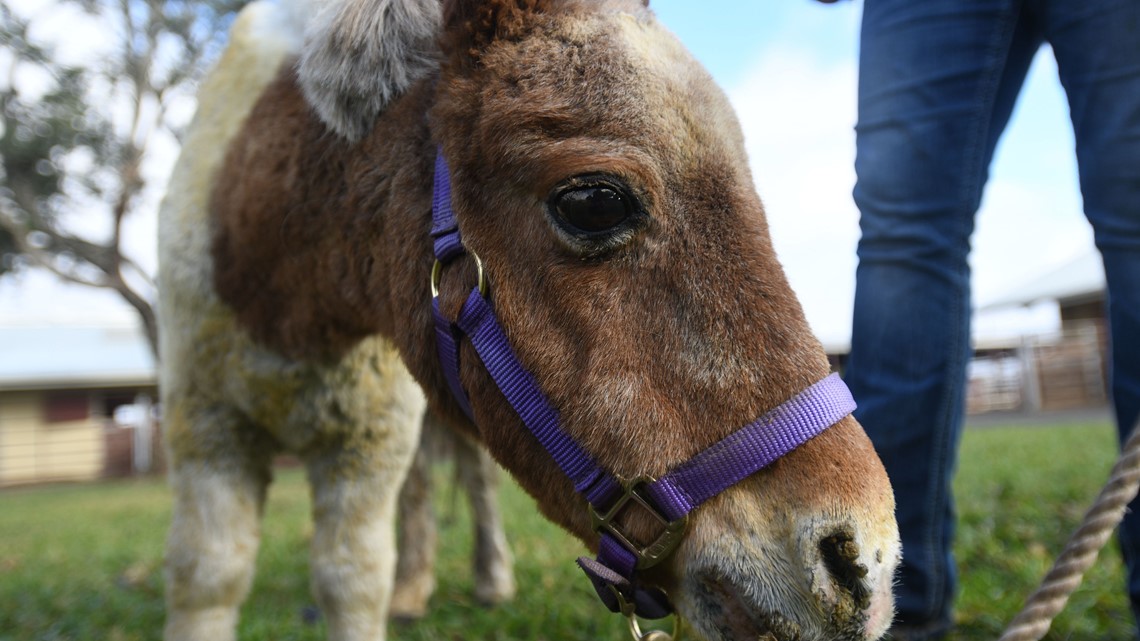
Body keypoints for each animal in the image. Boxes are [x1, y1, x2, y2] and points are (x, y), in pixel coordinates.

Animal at [156, 1, 901, 640]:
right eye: (595, 202)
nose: (861, 564)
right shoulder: (205, 430)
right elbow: (208, 577)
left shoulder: (369, 442)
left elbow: (352, 577)